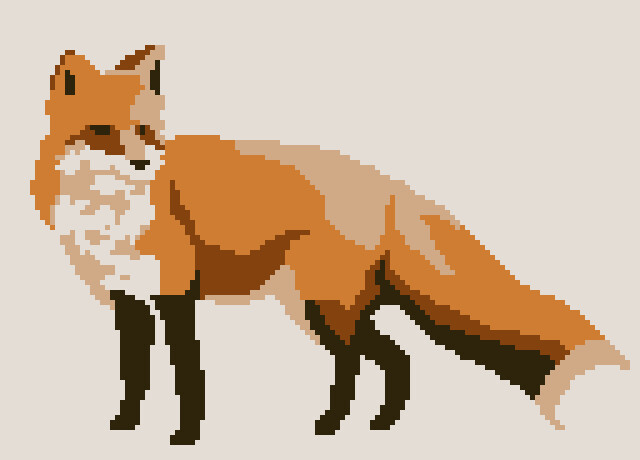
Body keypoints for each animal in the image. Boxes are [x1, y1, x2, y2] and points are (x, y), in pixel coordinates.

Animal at [32, 45, 630, 445]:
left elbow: (186, 376)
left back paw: (332, 426)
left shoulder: (176, 296)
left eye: (145, 132)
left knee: (359, 363)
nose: (142, 163)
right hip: (322, 310)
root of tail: (388, 184)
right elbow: (135, 373)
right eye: (102, 130)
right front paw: (124, 426)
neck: (109, 215)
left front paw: (185, 437)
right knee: (395, 356)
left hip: (323, 309)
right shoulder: (126, 300)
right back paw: (379, 426)